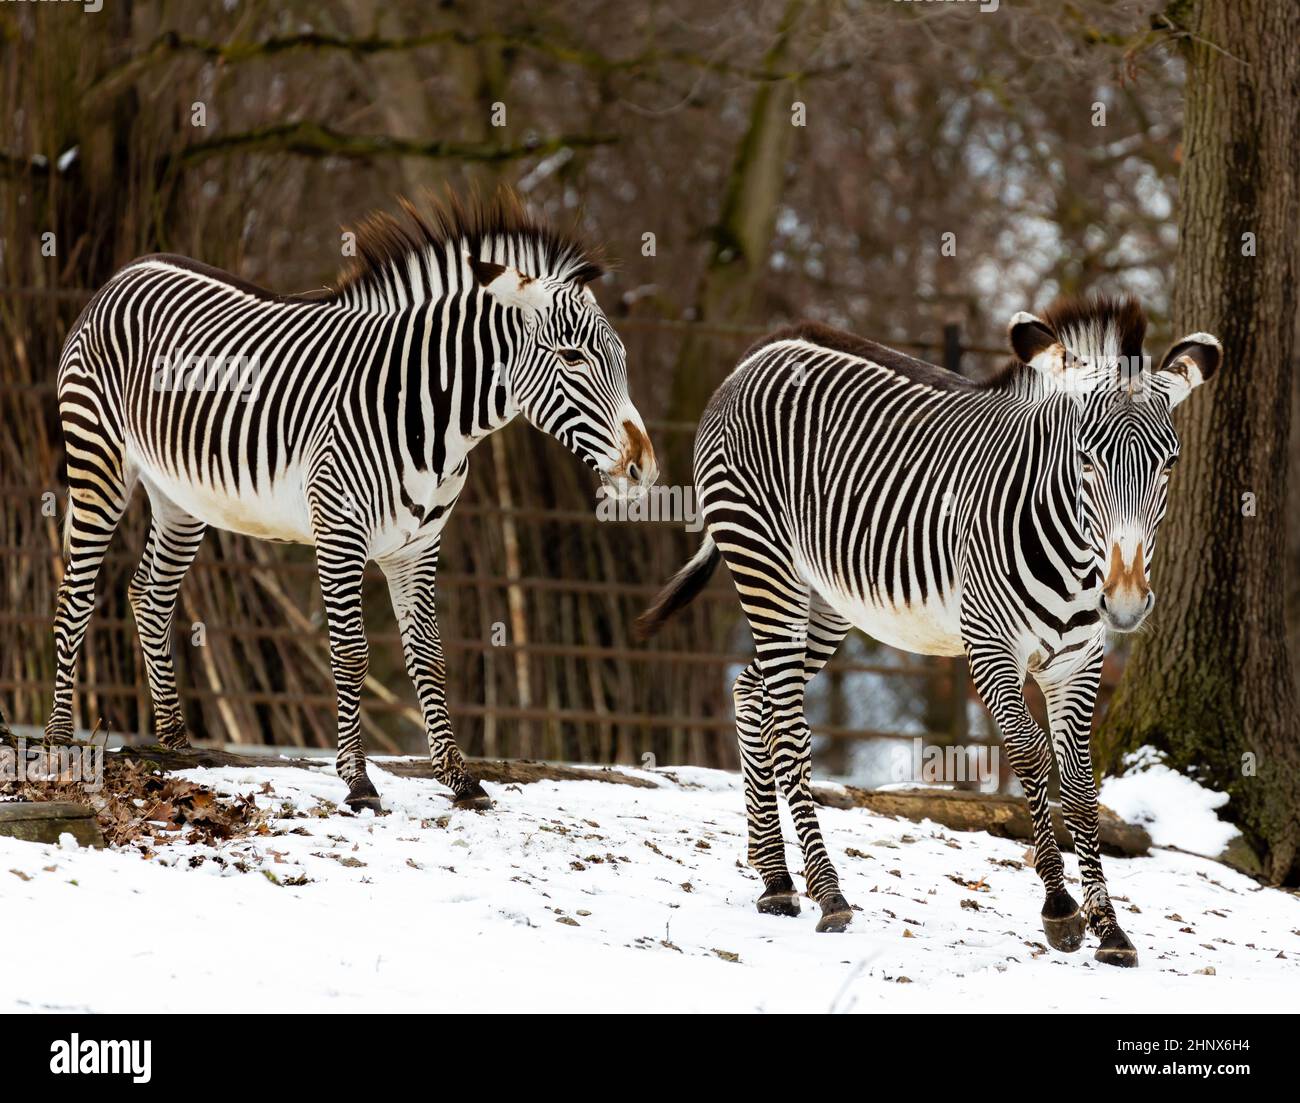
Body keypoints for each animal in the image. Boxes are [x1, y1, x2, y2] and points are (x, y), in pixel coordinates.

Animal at [46, 191, 657, 813]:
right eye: (573, 356)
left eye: (620, 357)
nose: (646, 468)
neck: (430, 414)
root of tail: (127, 269)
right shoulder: (339, 528)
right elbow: (351, 653)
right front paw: (359, 783)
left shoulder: (418, 547)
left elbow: (429, 657)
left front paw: (459, 779)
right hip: (98, 460)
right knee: (76, 594)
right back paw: (59, 741)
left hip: (181, 498)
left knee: (149, 594)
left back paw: (174, 744)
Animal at [637, 295, 1219, 966]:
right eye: (1085, 459)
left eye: (1169, 464)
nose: (1123, 604)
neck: (1077, 561)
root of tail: (764, 351)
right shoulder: (990, 647)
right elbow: (1030, 757)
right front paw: (1059, 907)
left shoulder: (1080, 662)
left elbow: (1079, 782)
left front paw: (1110, 928)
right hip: (764, 564)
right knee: (786, 720)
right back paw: (828, 893)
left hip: (828, 600)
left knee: (750, 691)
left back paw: (776, 881)